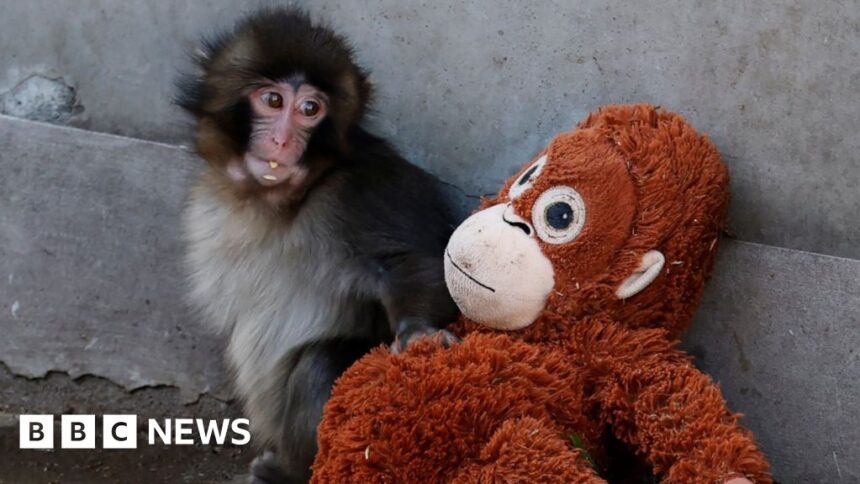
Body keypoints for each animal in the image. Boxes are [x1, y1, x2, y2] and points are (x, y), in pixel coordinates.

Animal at [176, 8, 460, 483]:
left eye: (310, 109)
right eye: (273, 101)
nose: (282, 141)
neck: (280, 201)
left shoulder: (360, 192)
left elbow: (409, 262)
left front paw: (419, 333)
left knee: (322, 363)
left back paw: (286, 471)